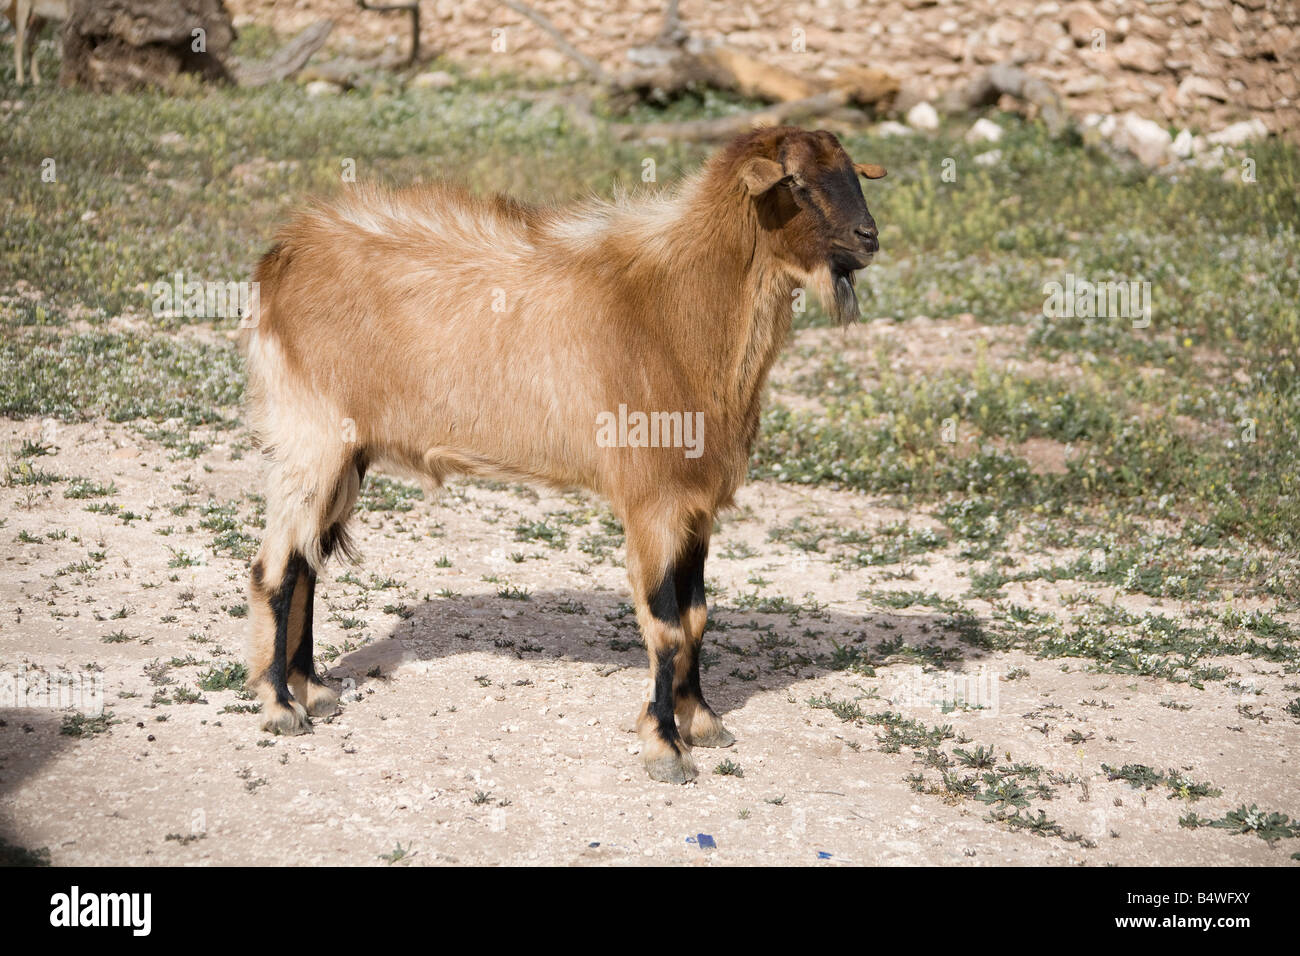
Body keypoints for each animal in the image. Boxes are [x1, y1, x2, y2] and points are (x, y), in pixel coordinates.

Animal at [242, 126, 886, 783]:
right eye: (796, 182)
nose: (869, 238)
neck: (674, 309)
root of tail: (284, 256)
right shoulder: (652, 501)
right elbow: (665, 626)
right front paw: (665, 745)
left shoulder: (696, 505)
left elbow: (697, 617)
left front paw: (703, 721)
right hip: (311, 435)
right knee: (274, 566)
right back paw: (280, 703)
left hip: (347, 452)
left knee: (306, 561)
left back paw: (313, 688)